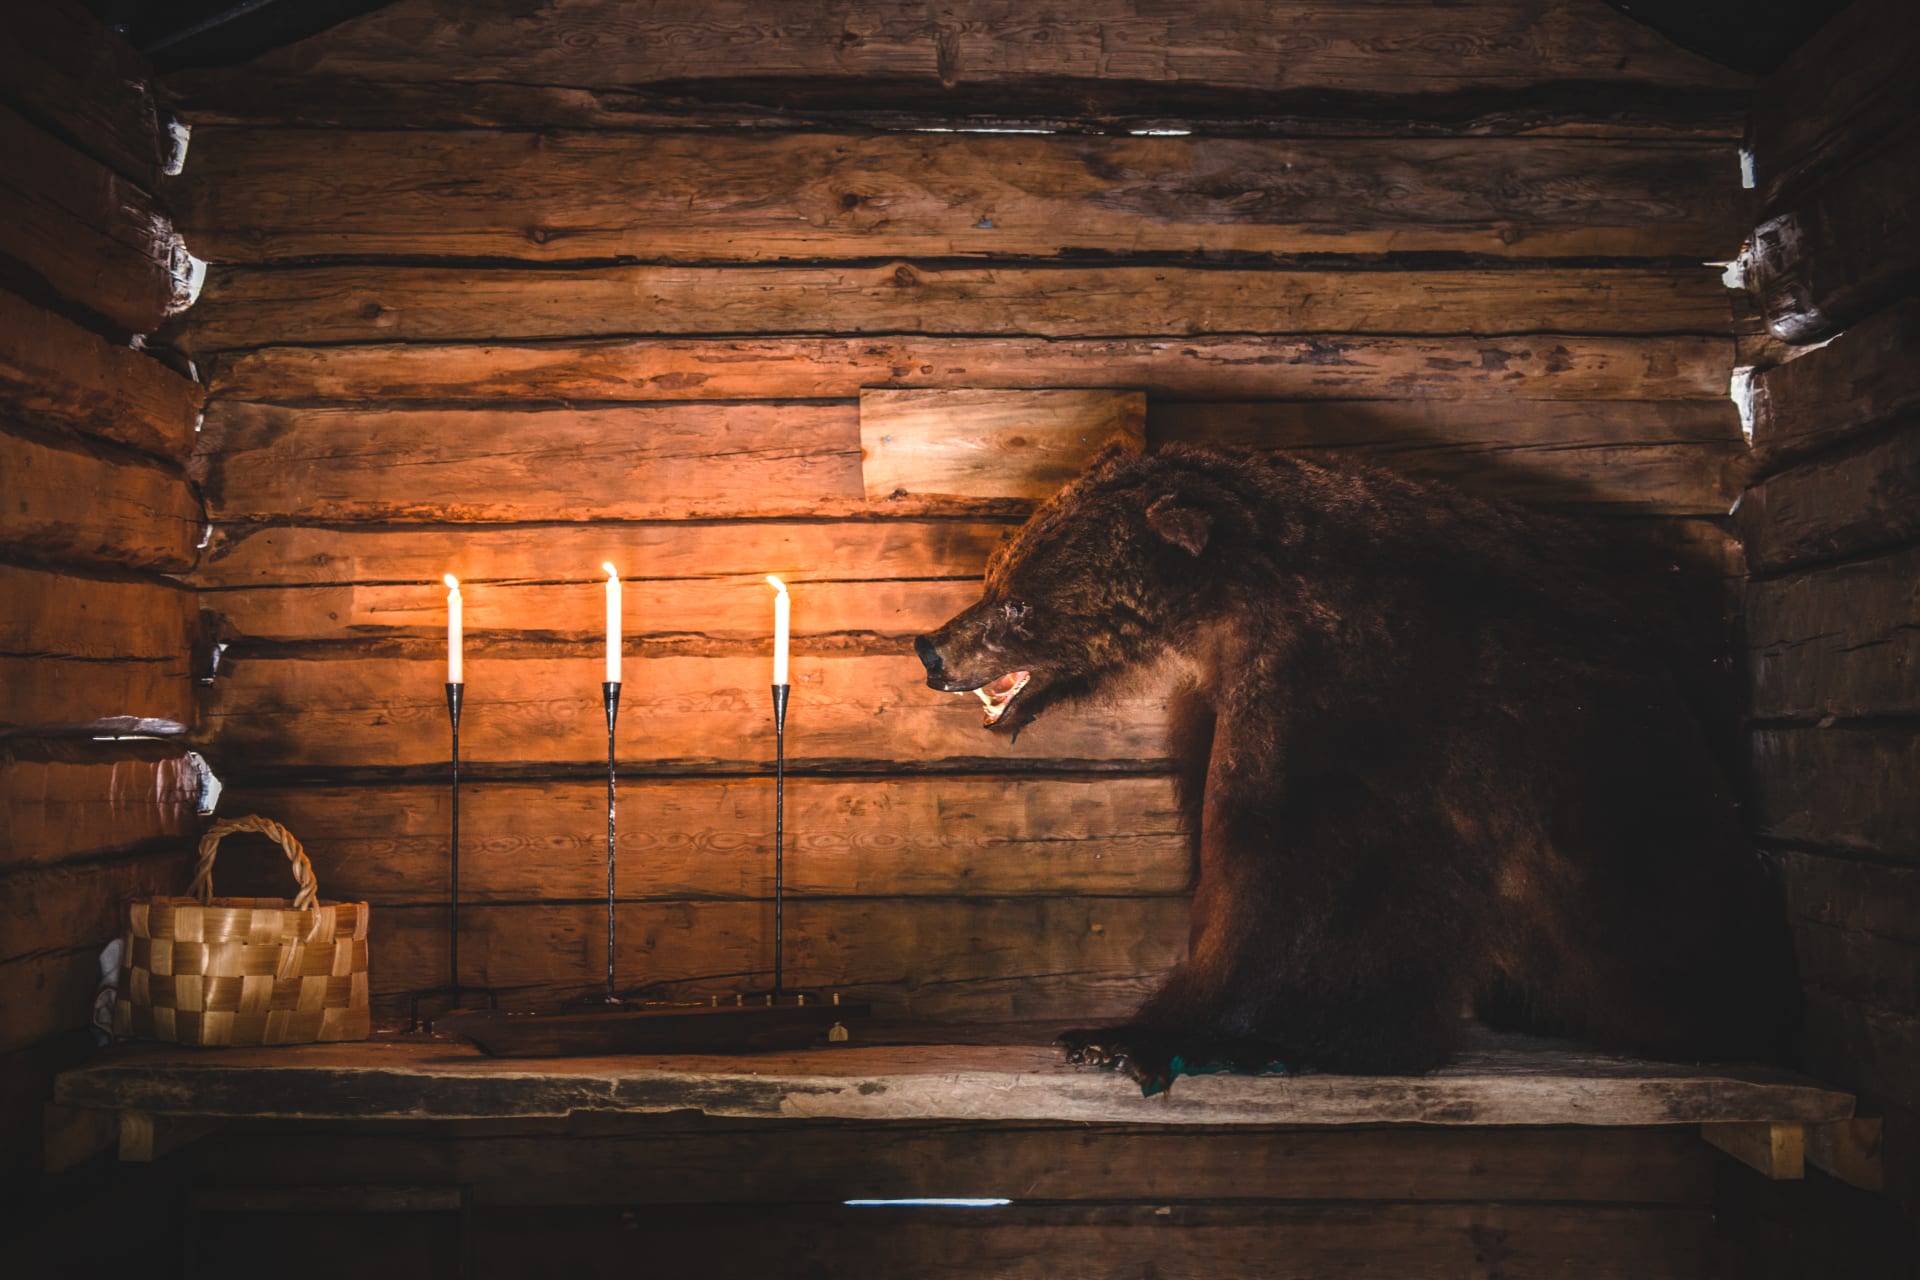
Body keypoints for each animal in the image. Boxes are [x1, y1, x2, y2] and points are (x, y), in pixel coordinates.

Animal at [913, 442, 1798, 1089]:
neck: (1232, 613)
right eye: (996, 572)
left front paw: (1142, 1035)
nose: (933, 647)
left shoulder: (1348, 697)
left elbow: (1294, 878)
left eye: (1018, 602)